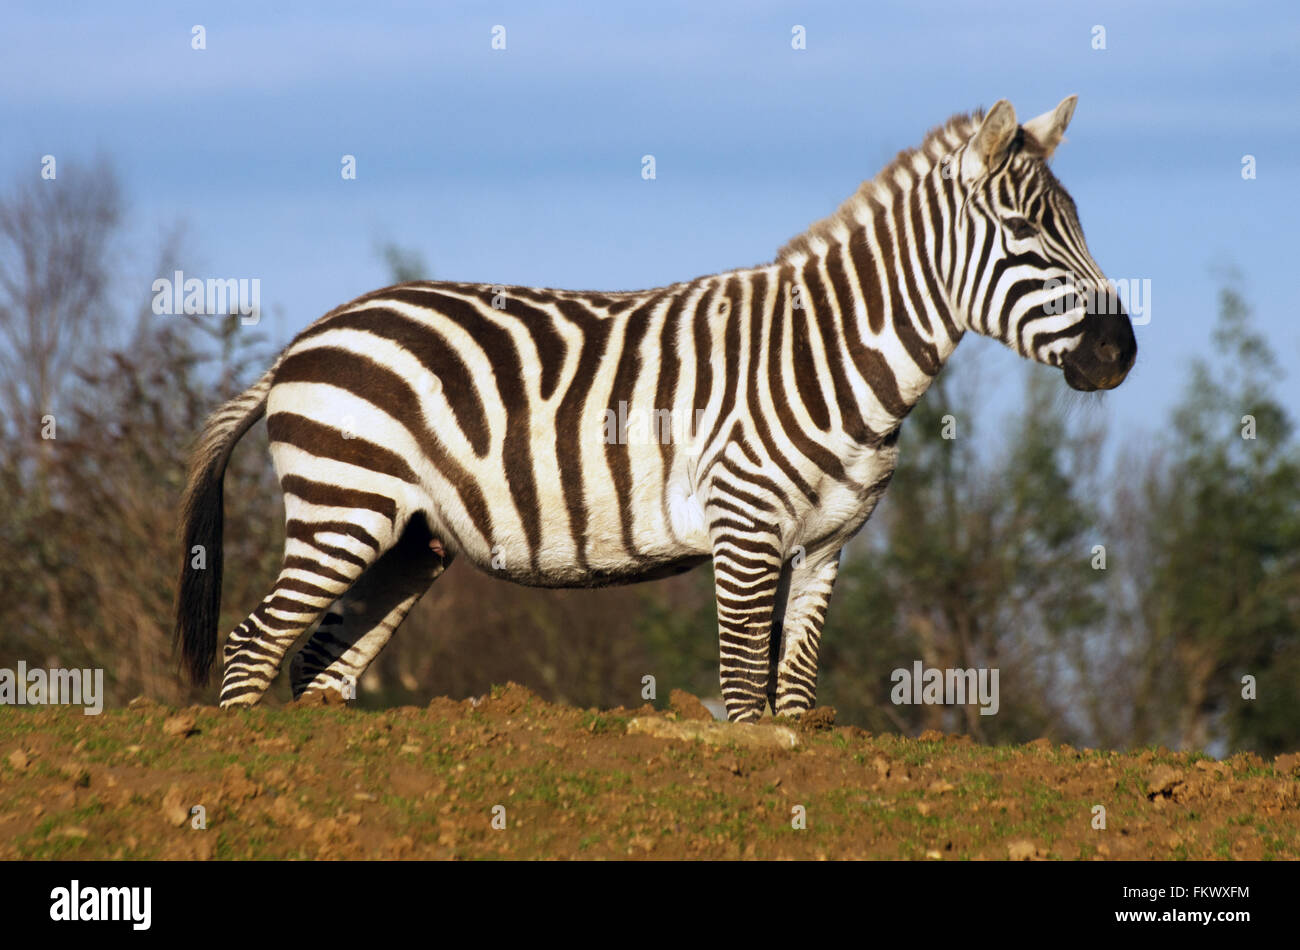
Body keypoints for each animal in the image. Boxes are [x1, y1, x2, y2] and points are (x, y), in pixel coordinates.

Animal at [175, 95, 1136, 722]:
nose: (1120, 353)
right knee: (252, 643)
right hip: (345, 505)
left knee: (319, 662)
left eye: (1080, 224)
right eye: (1026, 232)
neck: (832, 361)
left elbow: (794, 699)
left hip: (410, 537)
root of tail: (300, 343)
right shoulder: (744, 528)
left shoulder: (828, 547)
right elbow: (745, 696)